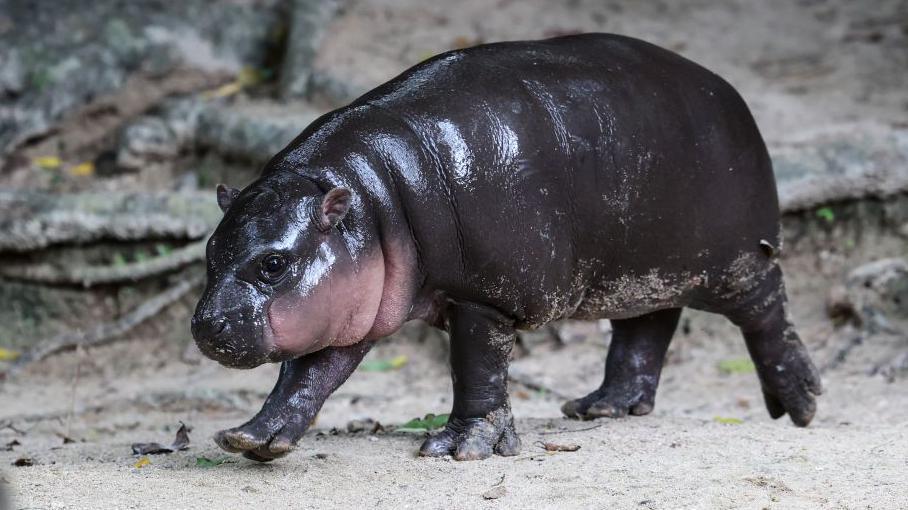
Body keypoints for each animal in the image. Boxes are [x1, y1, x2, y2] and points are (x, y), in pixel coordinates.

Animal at [191, 33, 822, 462]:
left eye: (274, 264)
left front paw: (460, 449)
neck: (373, 197)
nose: (205, 325)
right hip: (641, 265)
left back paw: (800, 405)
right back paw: (599, 408)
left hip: (735, 260)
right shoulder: (350, 306)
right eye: (210, 250)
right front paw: (252, 439)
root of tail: (727, 91)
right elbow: (308, 376)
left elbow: (477, 372)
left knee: (767, 310)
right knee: (646, 325)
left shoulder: (485, 295)